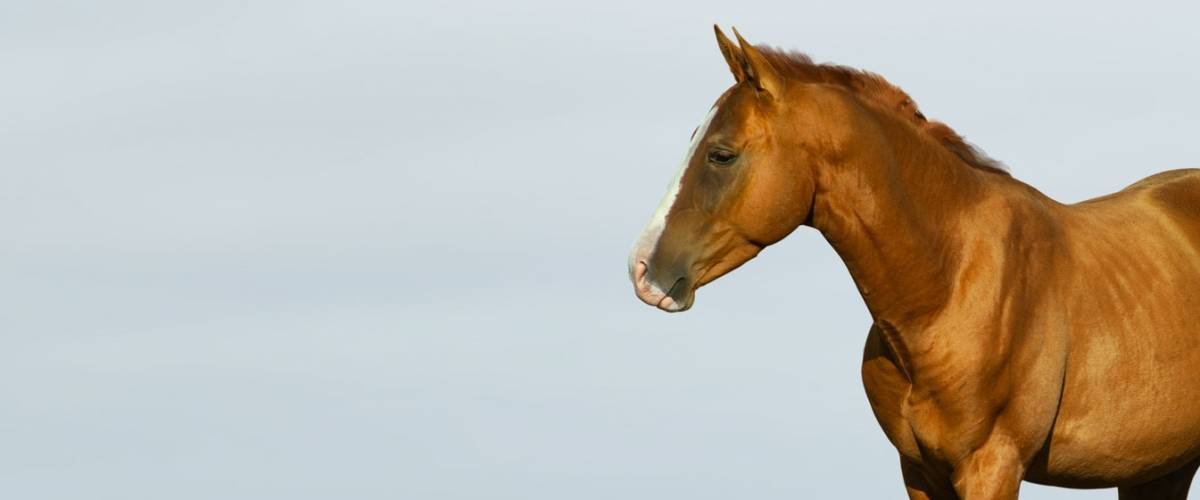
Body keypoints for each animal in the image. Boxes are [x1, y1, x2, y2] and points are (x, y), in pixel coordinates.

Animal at [627, 26, 1200, 499]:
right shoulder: (919, 472)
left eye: (721, 154)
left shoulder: (992, 466)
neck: (946, 288)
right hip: (1159, 470)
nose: (643, 269)